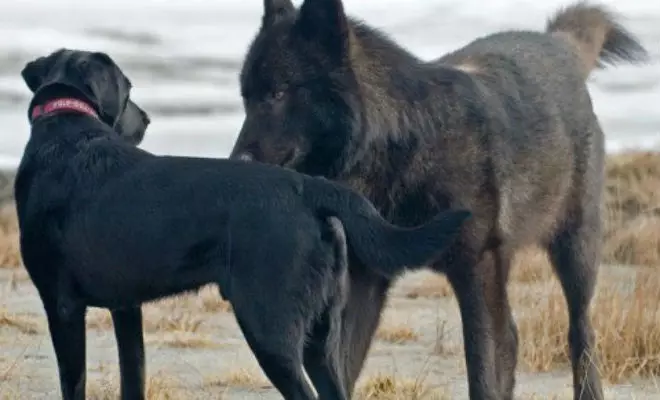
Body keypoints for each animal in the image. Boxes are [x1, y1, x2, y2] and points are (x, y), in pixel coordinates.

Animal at [14, 48, 470, 398]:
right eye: (128, 92)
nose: (145, 120)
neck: (66, 129)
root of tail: (309, 185)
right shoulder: (126, 308)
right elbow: (133, 379)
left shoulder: (62, 305)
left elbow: (73, 383)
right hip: (320, 336)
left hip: (269, 326)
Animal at [231, 1, 648, 398]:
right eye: (246, 99)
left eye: (277, 93)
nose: (235, 163)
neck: (401, 150)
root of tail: (558, 43)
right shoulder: (363, 282)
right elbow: (340, 370)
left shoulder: (475, 271)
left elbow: (482, 375)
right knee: (513, 338)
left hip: (576, 251)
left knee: (580, 332)